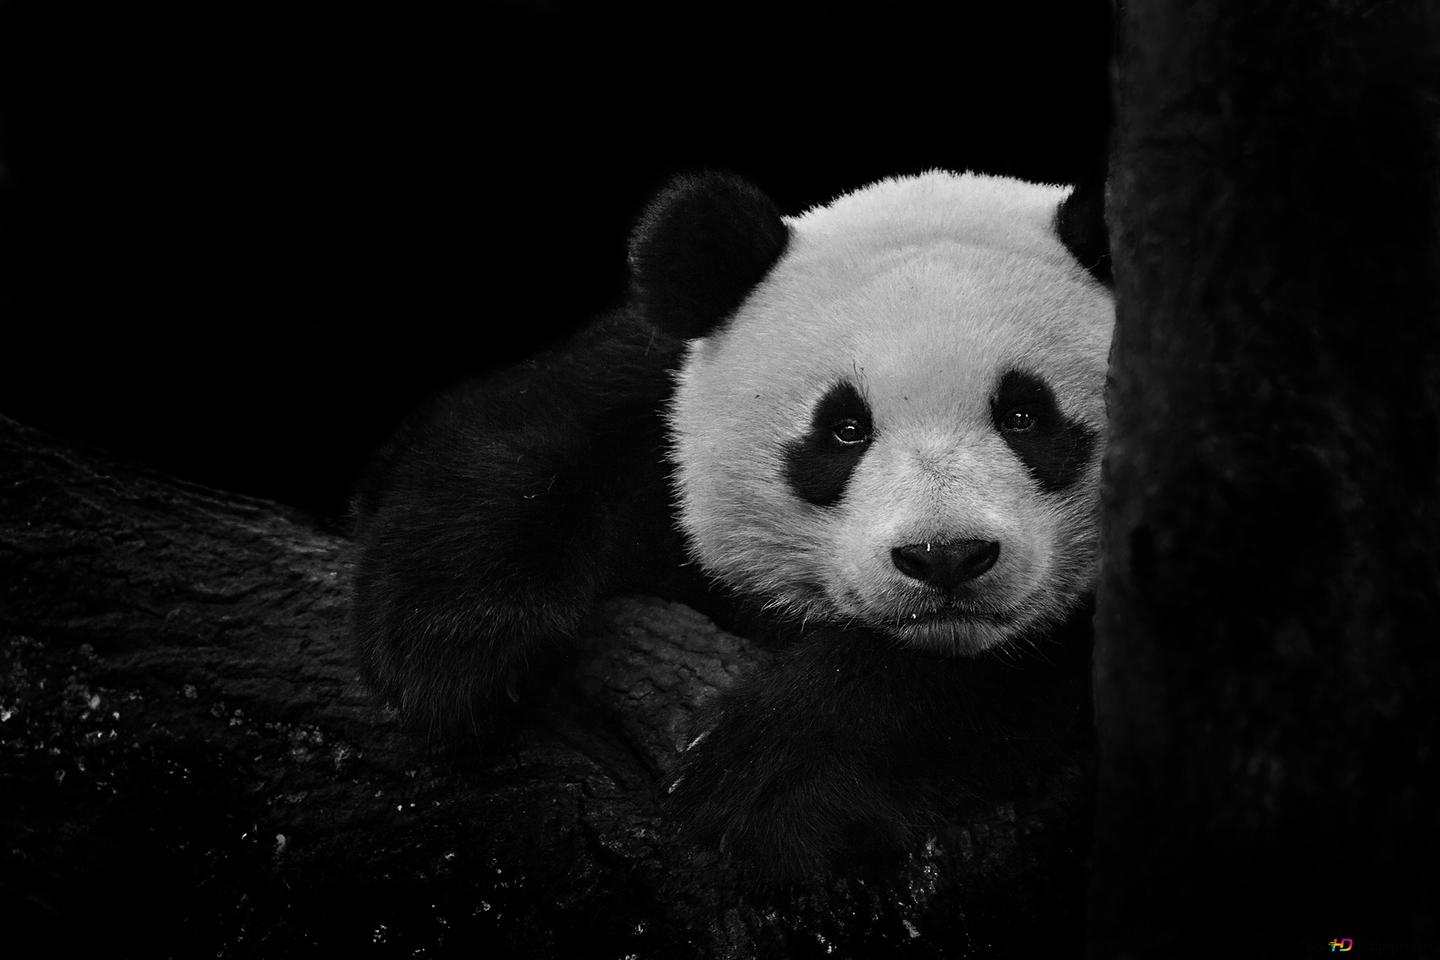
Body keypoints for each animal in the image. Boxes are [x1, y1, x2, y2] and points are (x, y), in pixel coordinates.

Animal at [351, 168, 1114, 881]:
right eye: (843, 429)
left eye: (1025, 416)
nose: (946, 556)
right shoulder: (653, 391)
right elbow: (535, 425)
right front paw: (457, 651)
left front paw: (768, 778)